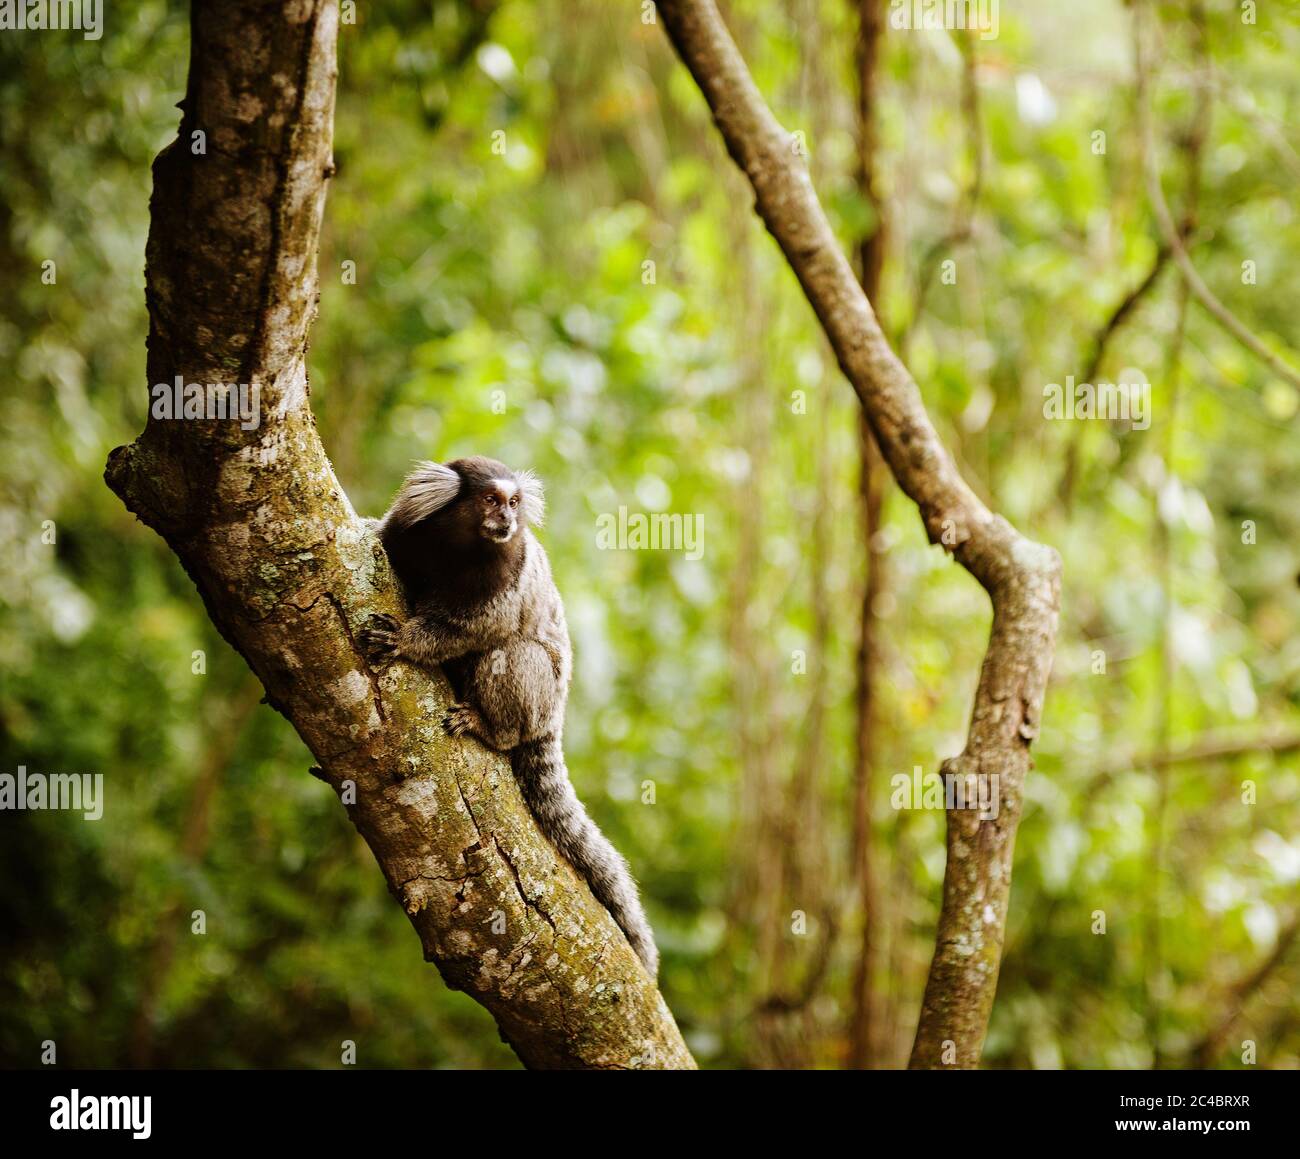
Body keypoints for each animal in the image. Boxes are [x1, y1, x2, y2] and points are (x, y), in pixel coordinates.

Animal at [358, 456, 660, 978]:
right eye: (490, 500)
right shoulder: (405, 532)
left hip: (537, 696)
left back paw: (491, 728)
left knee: (513, 654)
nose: (506, 521)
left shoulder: (505, 574)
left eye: (514, 502)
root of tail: (552, 718)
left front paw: (406, 642)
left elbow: (477, 627)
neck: (457, 548)